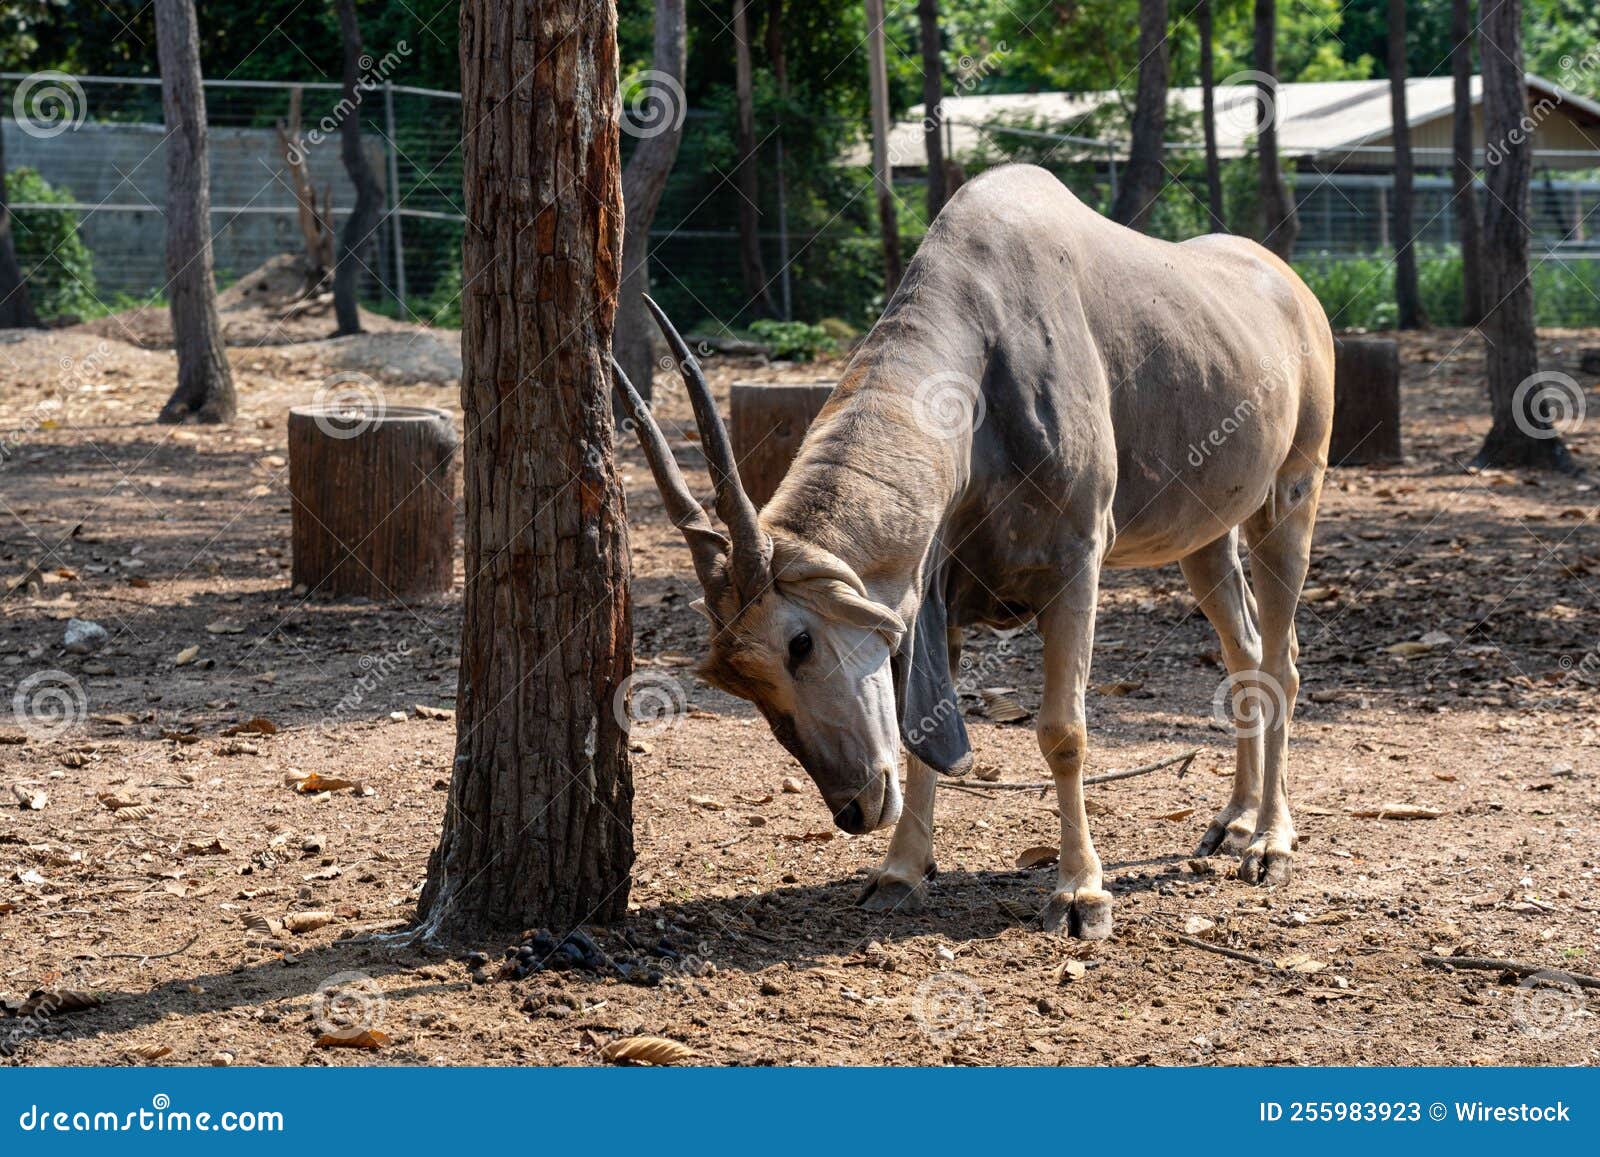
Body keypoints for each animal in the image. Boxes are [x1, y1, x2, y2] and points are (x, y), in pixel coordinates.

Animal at [614, 164, 1333, 939]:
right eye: (736, 682)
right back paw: (1234, 821)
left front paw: (1081, 892)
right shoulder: (940, 597)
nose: (854, 809)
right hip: (1206, 539)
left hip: (1290, 500)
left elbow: (1063, 730)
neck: (985, 348)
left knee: (1282, 661)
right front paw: (899, 872)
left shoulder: (1075, 567)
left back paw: (1271, 842)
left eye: (799, 643)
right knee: (1244, 653)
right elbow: (921, 725)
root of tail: (1294, 291)